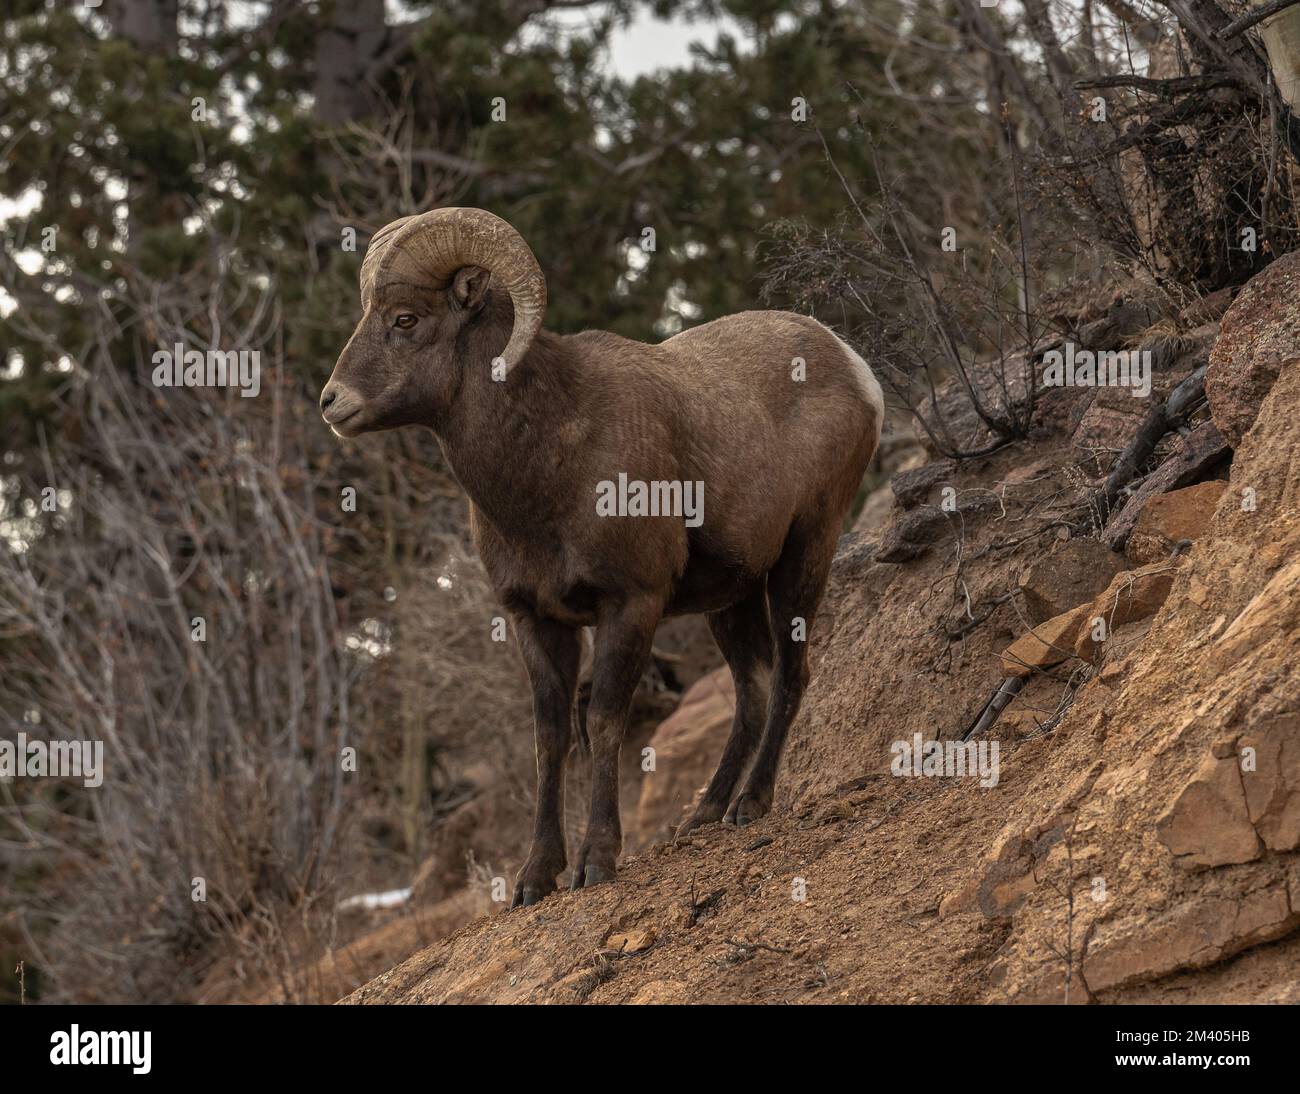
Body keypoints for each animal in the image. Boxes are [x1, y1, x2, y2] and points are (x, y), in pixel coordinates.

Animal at [320, 207, 883, 907]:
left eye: (405, 319)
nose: (332, 402)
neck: (548, 467)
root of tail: (855, 367)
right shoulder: (537, 620)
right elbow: (552, 738)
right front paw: (534, 879)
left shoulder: (631, 605)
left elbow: (606, 722)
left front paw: (596, 862)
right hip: (731, 597)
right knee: (750, 687)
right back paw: (702, 815)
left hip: (805, 555)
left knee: (790, 676)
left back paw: (749, 805)